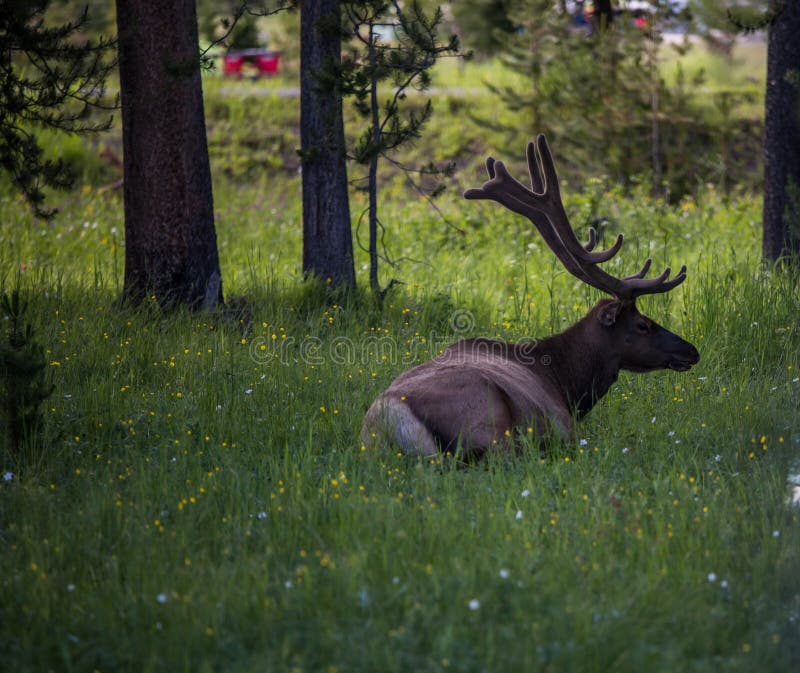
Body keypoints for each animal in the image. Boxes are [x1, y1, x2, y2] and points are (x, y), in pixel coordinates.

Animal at [360, 135, 700, 458]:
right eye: (643, 324)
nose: (692, 351)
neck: (566, 382)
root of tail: (392, 414)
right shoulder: (564, 425)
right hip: (488, 421)